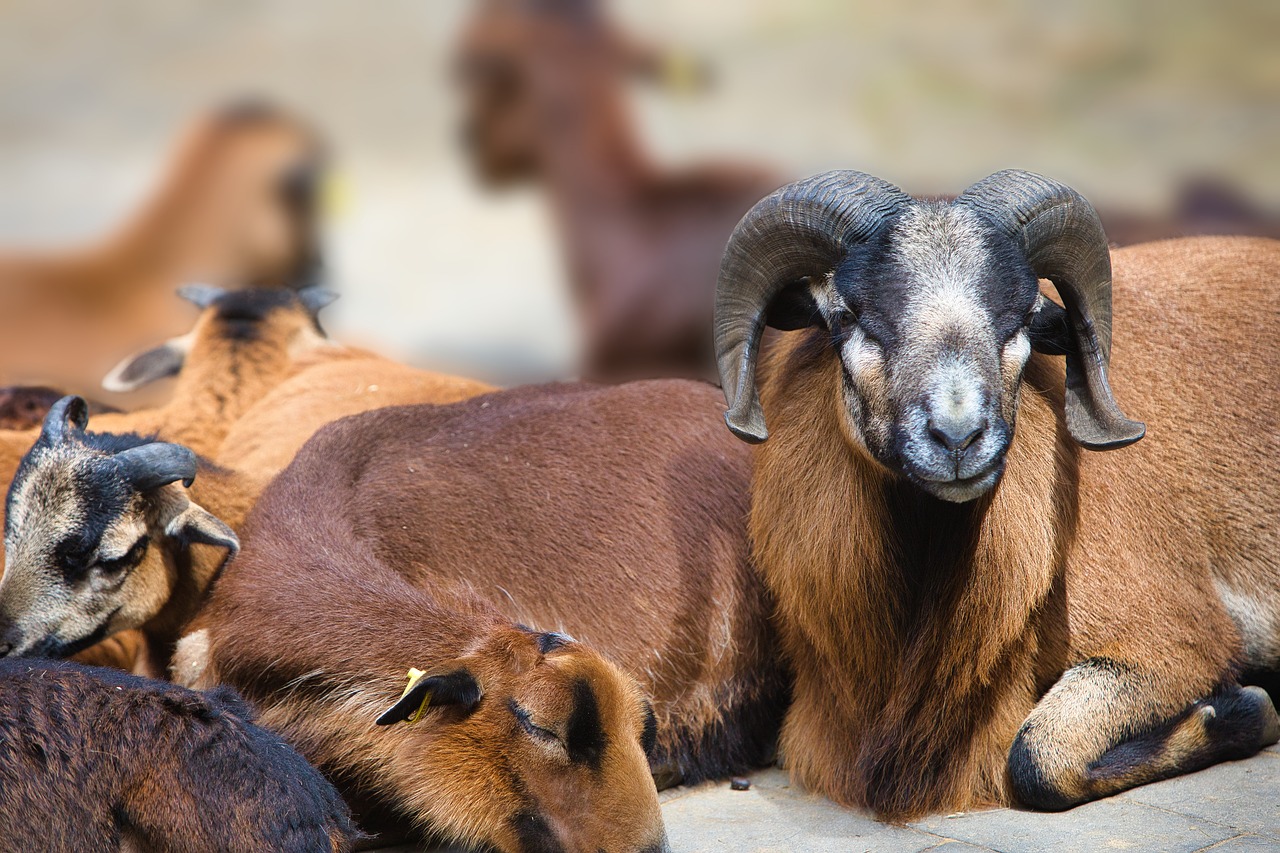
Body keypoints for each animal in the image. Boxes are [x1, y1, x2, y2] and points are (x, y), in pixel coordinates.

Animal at [713, 169, 1280, 820]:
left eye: (1022, 319)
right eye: (849, 316)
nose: (959, 437)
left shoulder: (1177, 642)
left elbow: (1038, 761)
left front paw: (1245, 710)